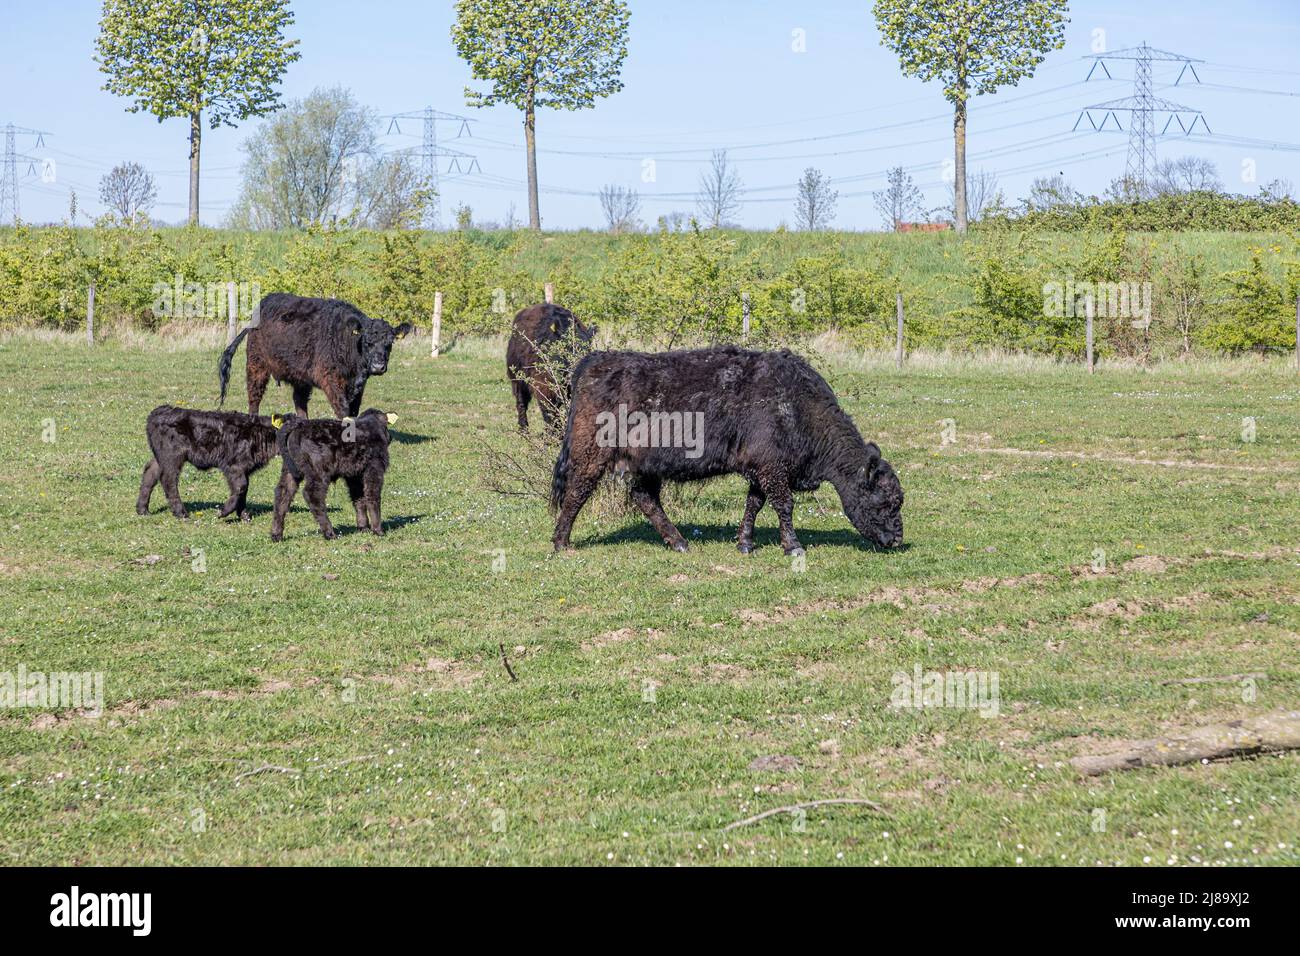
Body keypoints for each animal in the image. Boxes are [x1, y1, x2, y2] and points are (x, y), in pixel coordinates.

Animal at [136, 405, 288, 521]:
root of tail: (158, 411)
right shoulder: (233, 465)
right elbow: (241, 487)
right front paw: (223, 512)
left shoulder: (245, 468)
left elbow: (244, 490)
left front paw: (244, 515)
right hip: (172, 456)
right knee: (168, 480)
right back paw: (181, 513)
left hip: (161, 457)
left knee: (150, 472)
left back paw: (142, 510)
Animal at [219, 293, 412, 420]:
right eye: (367, 341)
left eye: (390, 342)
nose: (378, 366)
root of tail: (265, 300)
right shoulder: (329, 377)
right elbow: (343, 409)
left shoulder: (358, 385)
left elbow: (353, 410)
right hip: (256, 362)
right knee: (254, 394)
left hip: (300, 374)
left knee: (299, 400)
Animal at [270, 408, 395, 542]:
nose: (390, 437)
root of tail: (298, 424)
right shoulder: (374, 468)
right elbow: (373, 496)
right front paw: (378, 530)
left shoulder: (354, 475)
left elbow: (358, 498)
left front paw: (363, 527)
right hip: (319, 473)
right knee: (312, 495)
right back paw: (330, 533)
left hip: (290, 471)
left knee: (282, 494)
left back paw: (276, 535)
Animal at [550, 346, 904, 555]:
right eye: (887, 501)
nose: (897, 539)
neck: (796, 405)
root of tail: (597, 359)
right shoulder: (773, 469)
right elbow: (784, 505)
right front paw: (793, 547)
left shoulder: (761, 470)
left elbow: (754, 504)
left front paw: (745, 544)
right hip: (592, 455)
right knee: (577, 491)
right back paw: (561, 543)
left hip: (644, 466)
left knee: (645, 499)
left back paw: (680, 542)